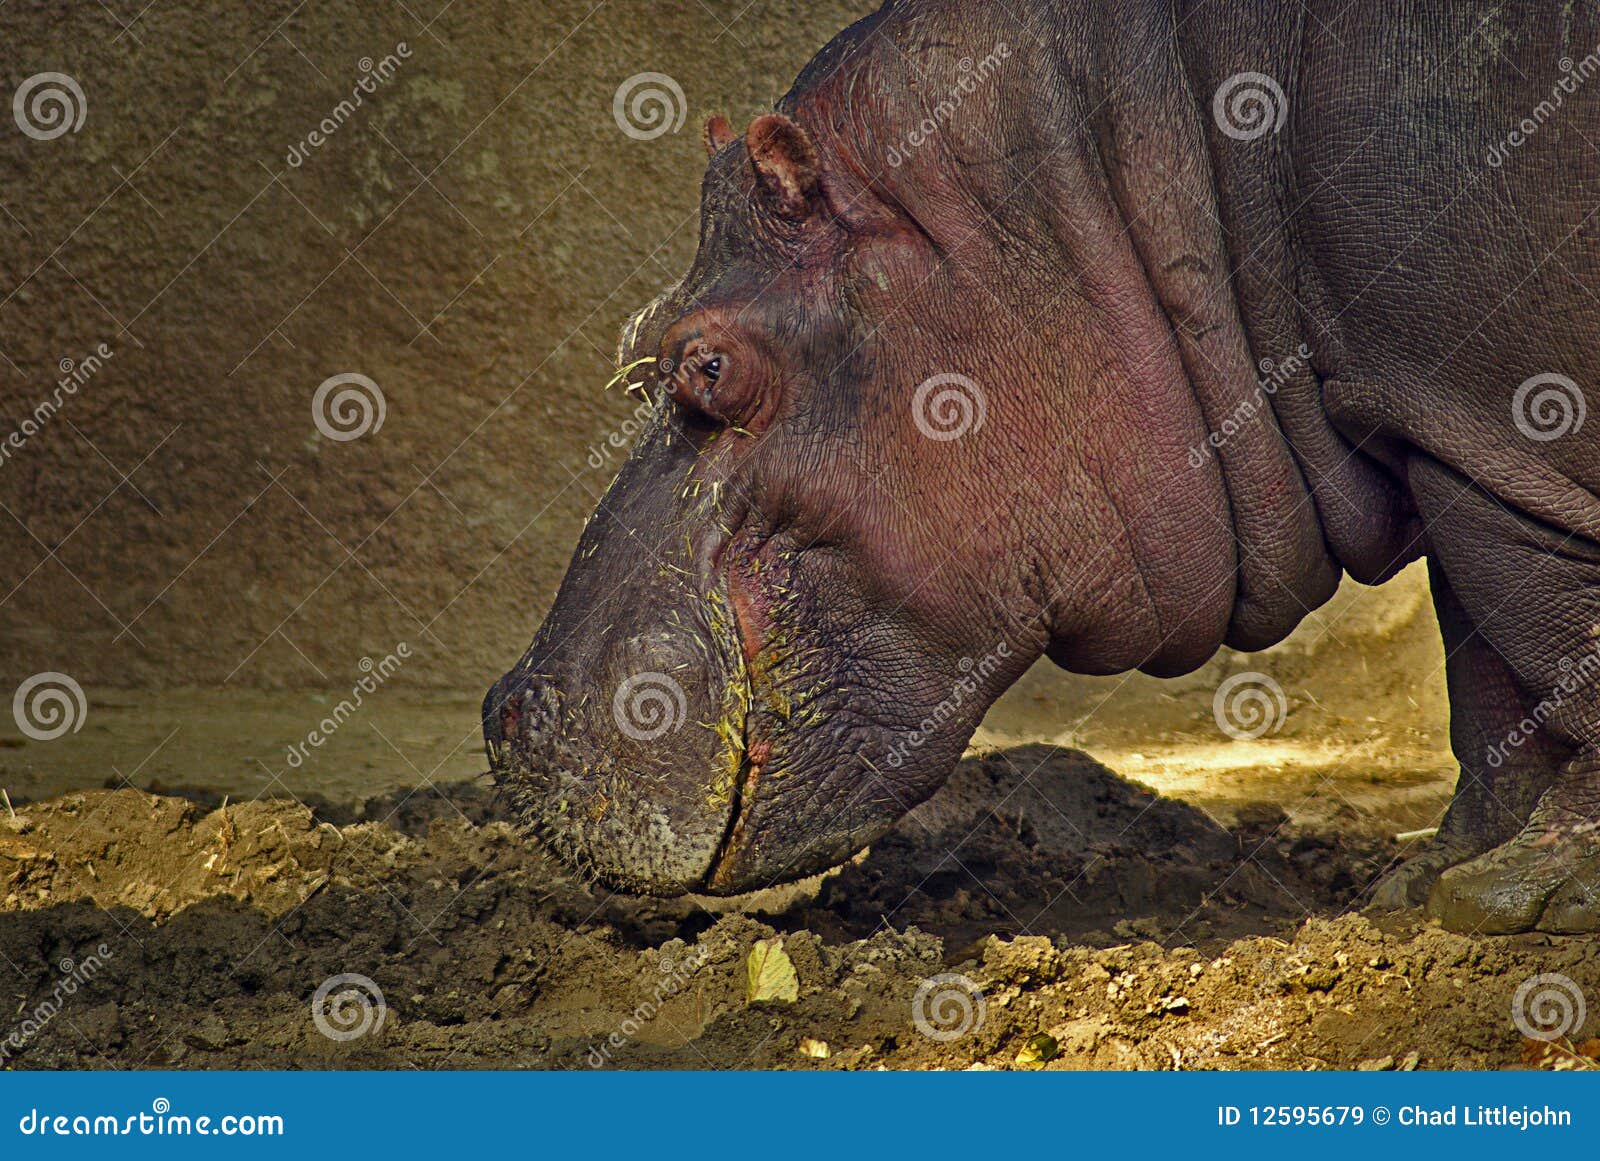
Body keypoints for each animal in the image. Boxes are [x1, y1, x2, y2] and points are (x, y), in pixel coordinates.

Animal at [485, 0, 1600, 934]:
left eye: (704, 363)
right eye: (636, 338)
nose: (503, 712)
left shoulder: (1490, 427)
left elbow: (1551, 649)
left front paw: (1524, 897)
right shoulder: (1438, 428)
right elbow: (1485, 677)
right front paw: (1423, 886)